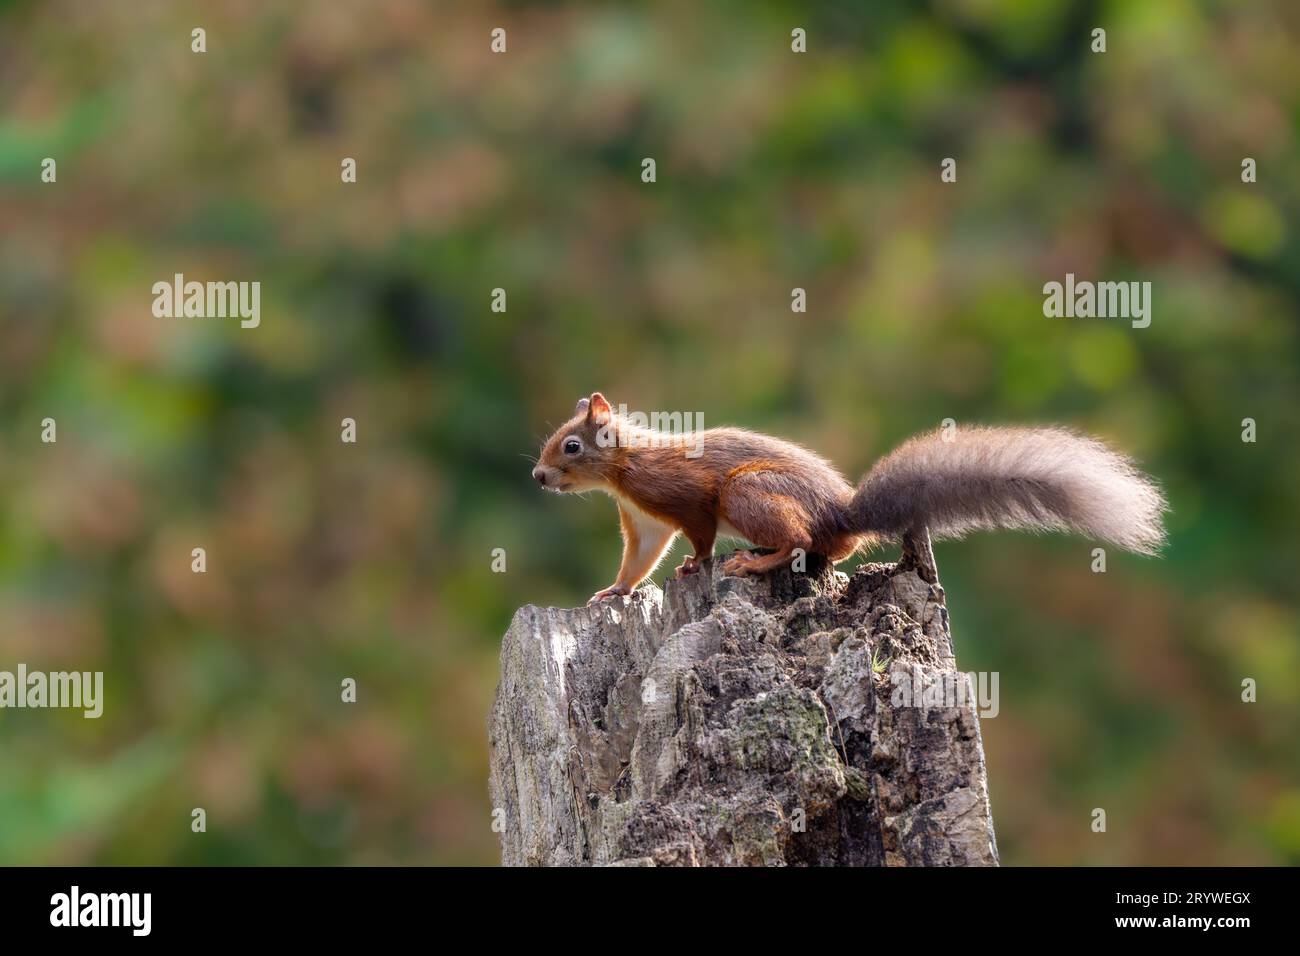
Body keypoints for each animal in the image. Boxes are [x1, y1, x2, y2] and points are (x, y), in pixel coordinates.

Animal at [532, 393, 1167, 605]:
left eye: (570, 445)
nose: (538, 476)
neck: (624, 468)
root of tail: (843, 511)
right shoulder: (643, 522)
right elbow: (637, 561)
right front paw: (614, 591)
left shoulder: (684, 498)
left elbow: (701, 536)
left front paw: (695, 567)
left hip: (747, 490)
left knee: (799, 539)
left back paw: (755, 561)